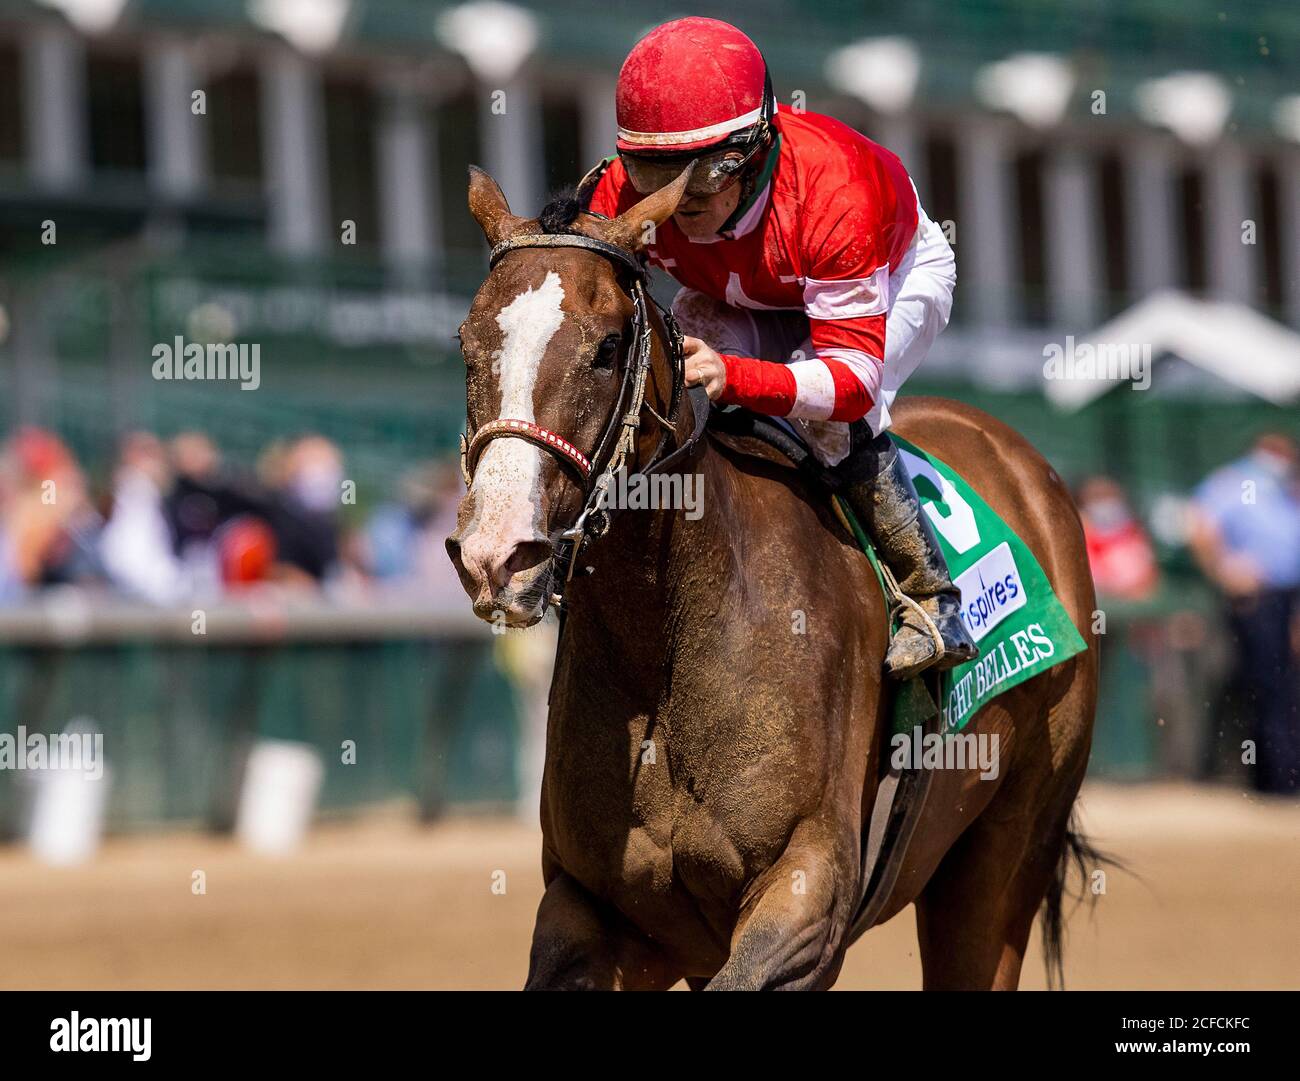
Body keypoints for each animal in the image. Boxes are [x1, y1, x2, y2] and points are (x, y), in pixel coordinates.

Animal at [447, 164, 1099, 990]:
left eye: (607, 346)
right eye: (466, 343)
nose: (498, 553)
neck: (669, 644)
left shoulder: (808, 900)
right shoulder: (597, 907)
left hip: (1007, 850)